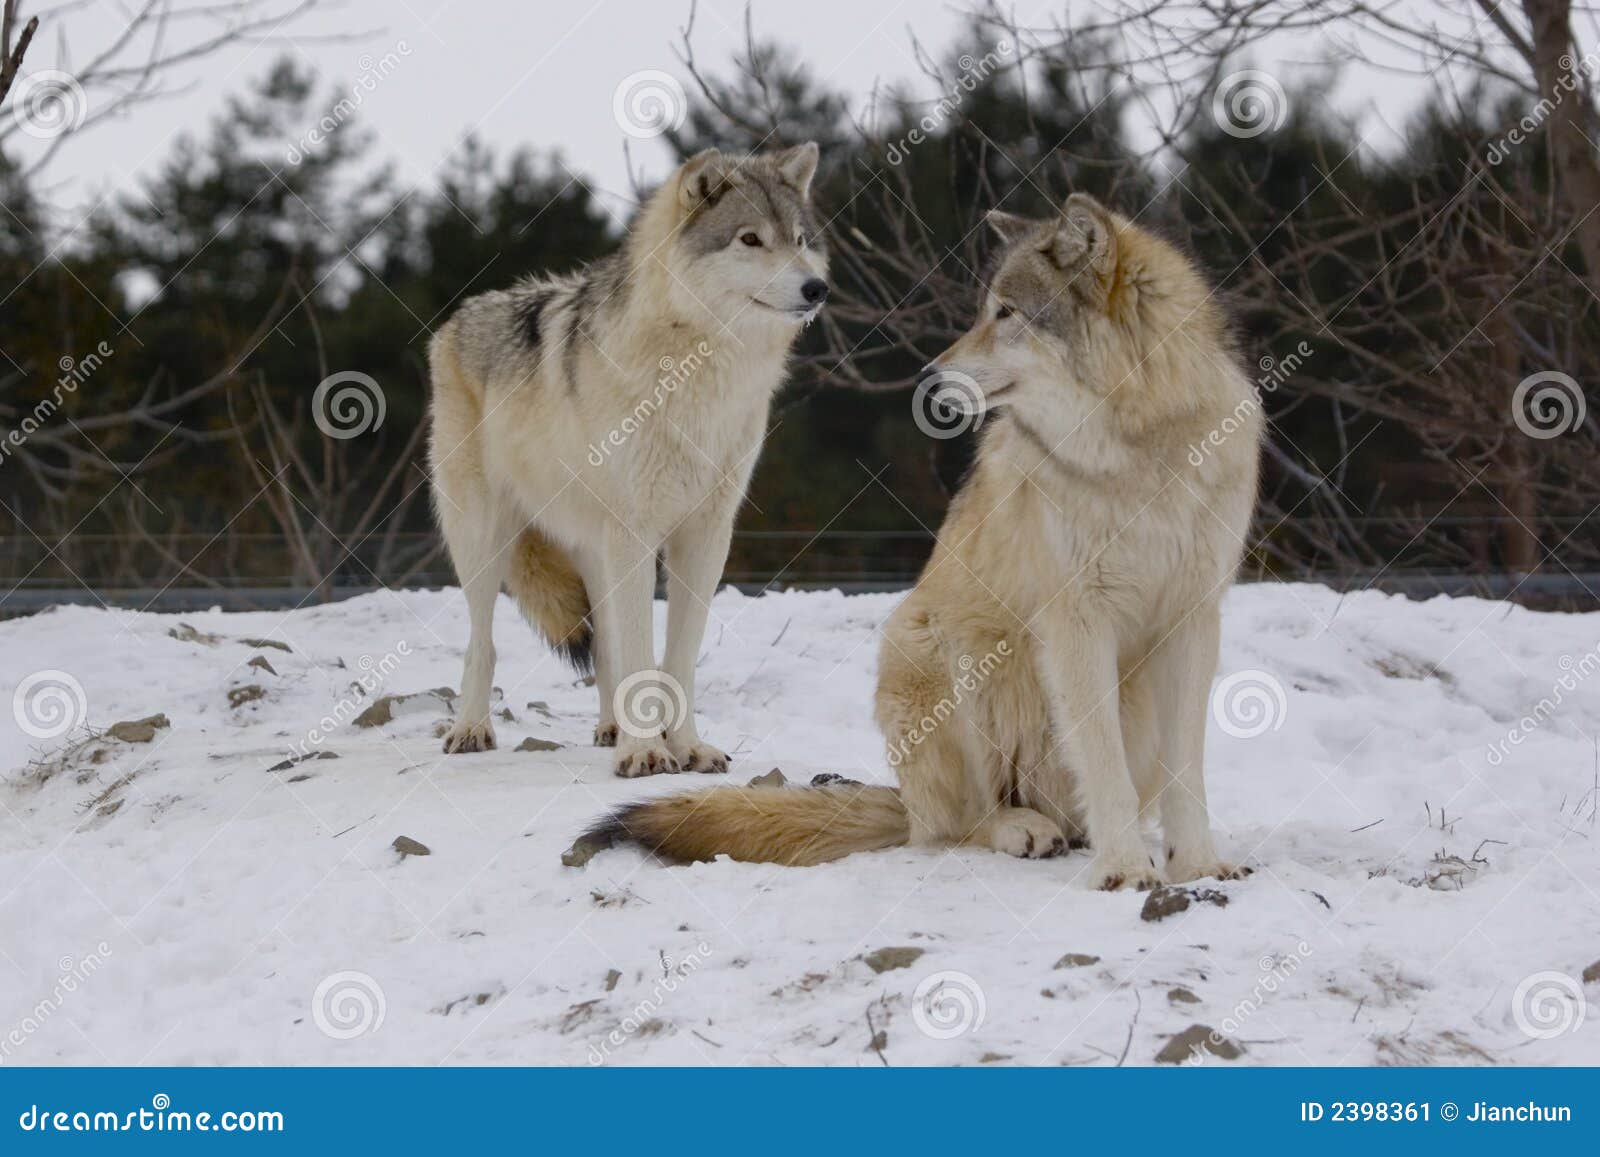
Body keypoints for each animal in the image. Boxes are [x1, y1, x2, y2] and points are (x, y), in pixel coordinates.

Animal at [427, 143, 828, 776]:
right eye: (749, 239)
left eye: (799, 238)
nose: (817, 289)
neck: (698, 370)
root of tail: (457, 317)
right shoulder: (636, 530)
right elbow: (643, 648)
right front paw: (645, 753)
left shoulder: (706, 535)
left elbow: (675, 658)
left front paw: (685, 748)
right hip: (486, 537)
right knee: (482, 639)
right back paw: (471, 729)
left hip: (595, 549)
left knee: (606, 644)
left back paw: (611, 728)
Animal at [579, 192, 1261, 889]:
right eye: (986, 309)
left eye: (1005, 313)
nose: (929, 374)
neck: (1143, 453)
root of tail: (904, 802)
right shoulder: (1076, 623)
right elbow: (1104, 766)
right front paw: (1125, 871)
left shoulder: (1193, 619)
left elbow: (1187, 773)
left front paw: (1198, 865)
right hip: (954, 655)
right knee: (964, 820)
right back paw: (1023, 829)